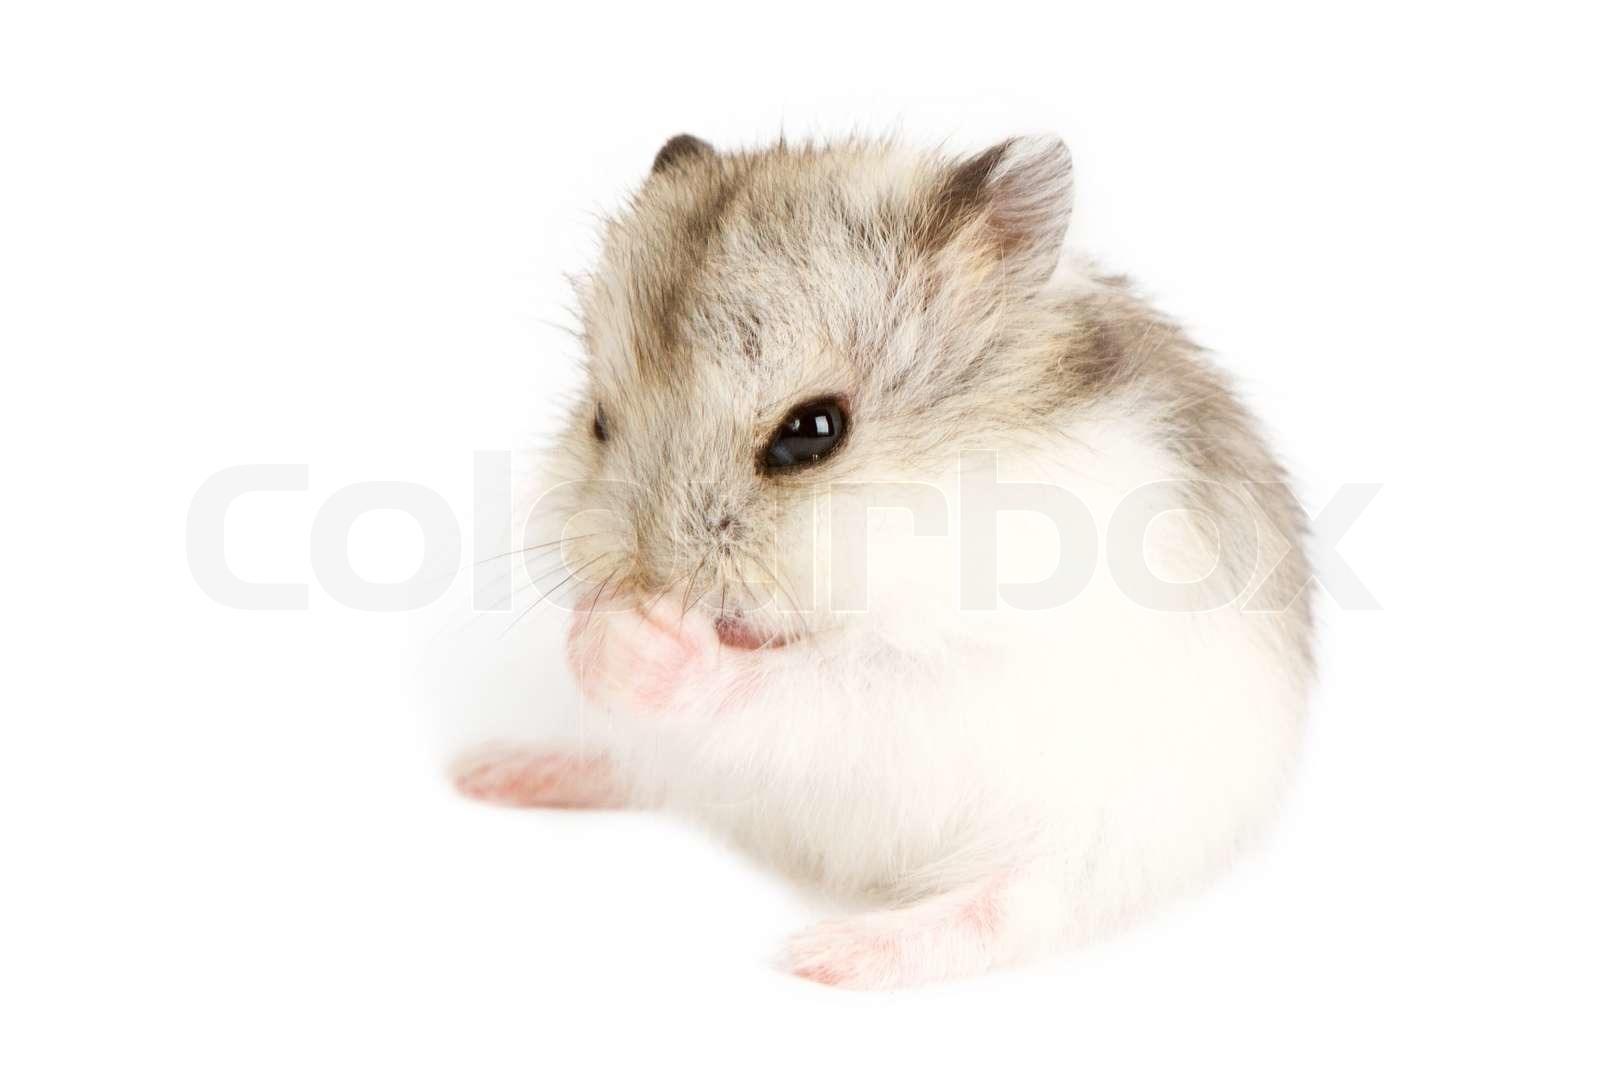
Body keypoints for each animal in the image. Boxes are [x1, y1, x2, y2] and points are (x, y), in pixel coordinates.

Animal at [454, 134, 1315, 989]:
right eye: (599, 420)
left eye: (813, 430)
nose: (646, 584)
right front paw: (594, 629)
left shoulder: (957, 673)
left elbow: (807, 684)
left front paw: (629, 640)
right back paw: (491, 769)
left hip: (1105, 830)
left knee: (1010, 907)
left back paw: (834, 954)